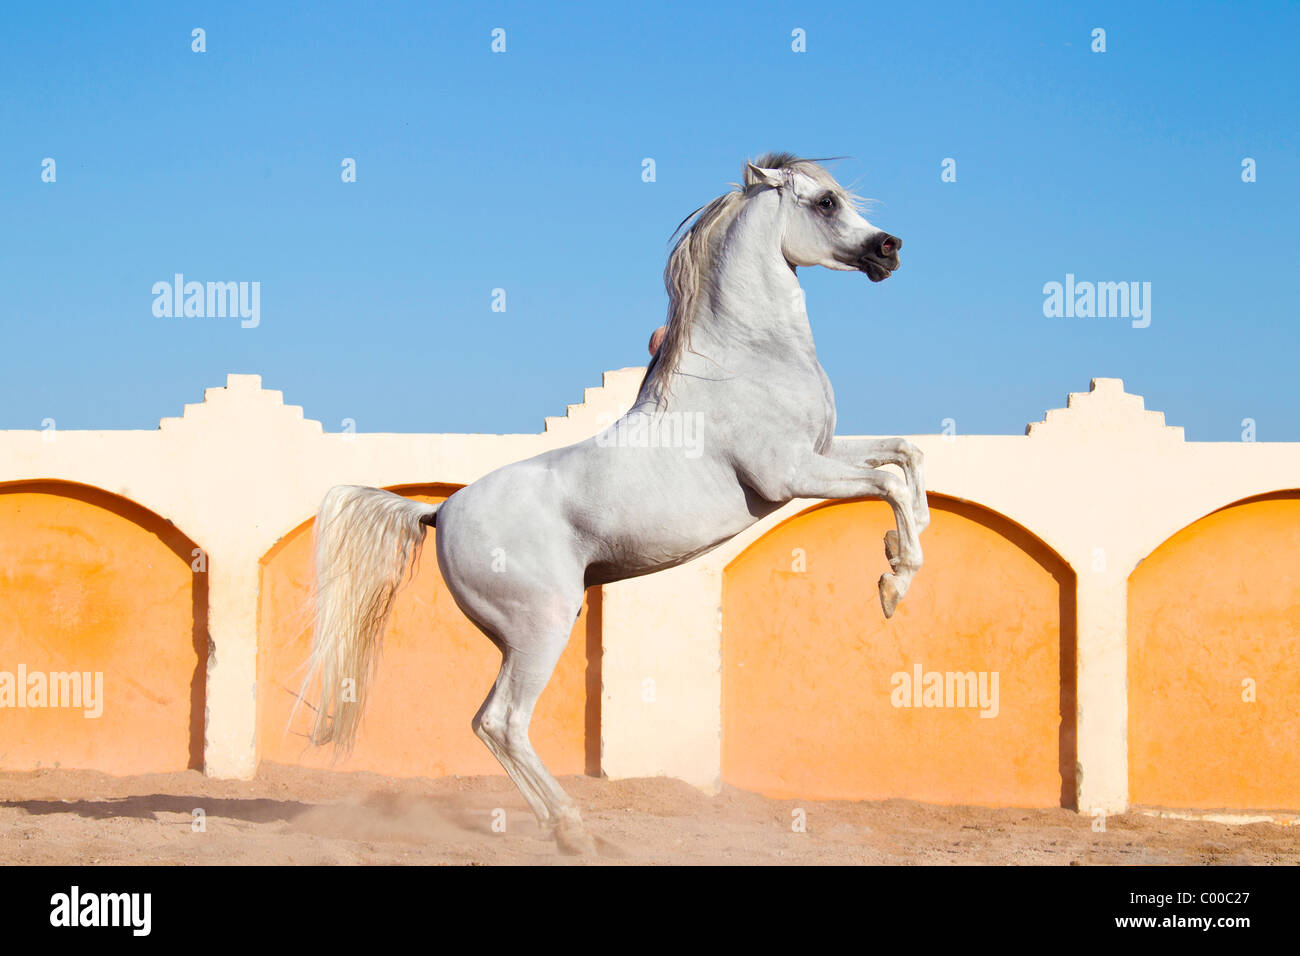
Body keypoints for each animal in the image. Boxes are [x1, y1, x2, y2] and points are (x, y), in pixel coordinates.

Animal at [305, 152, 929, 854]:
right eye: (824, 202)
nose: (890, 249)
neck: (746, 363)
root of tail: (440, 512)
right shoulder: (792, 475)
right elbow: (890, 484)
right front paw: (893, 585)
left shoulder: (825, 451)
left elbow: (906, 457)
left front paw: (902, 550)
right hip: (541, 627)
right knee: (501, 722)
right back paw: (575, 832)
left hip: (526, 634)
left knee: (493, 724)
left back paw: (566, 828)